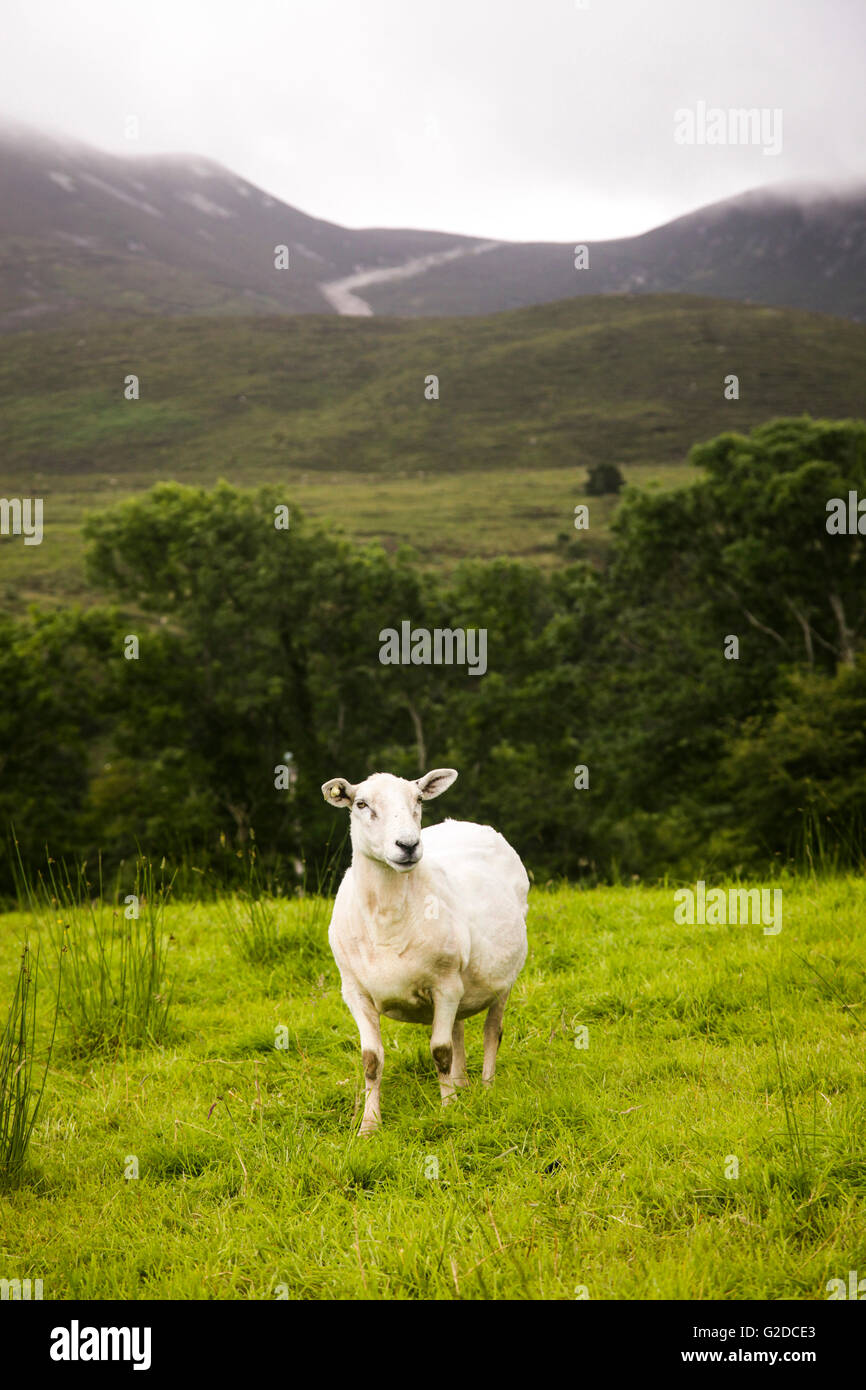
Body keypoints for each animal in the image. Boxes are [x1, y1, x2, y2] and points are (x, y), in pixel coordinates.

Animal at [321, 768, 529, 1134]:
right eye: (361, 804)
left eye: (418, 799)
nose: (408, 845)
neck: (386, 917)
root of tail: (466, 824)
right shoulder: (355, 992)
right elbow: (371, 1061)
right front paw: (369, 1126)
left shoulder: (444, 984)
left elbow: (440, 1051)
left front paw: (448, 1112)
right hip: (459, 987)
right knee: (459, 1029)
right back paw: (461, 1085)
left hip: (501, 980)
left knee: (492, 1032)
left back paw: (486, 1088)